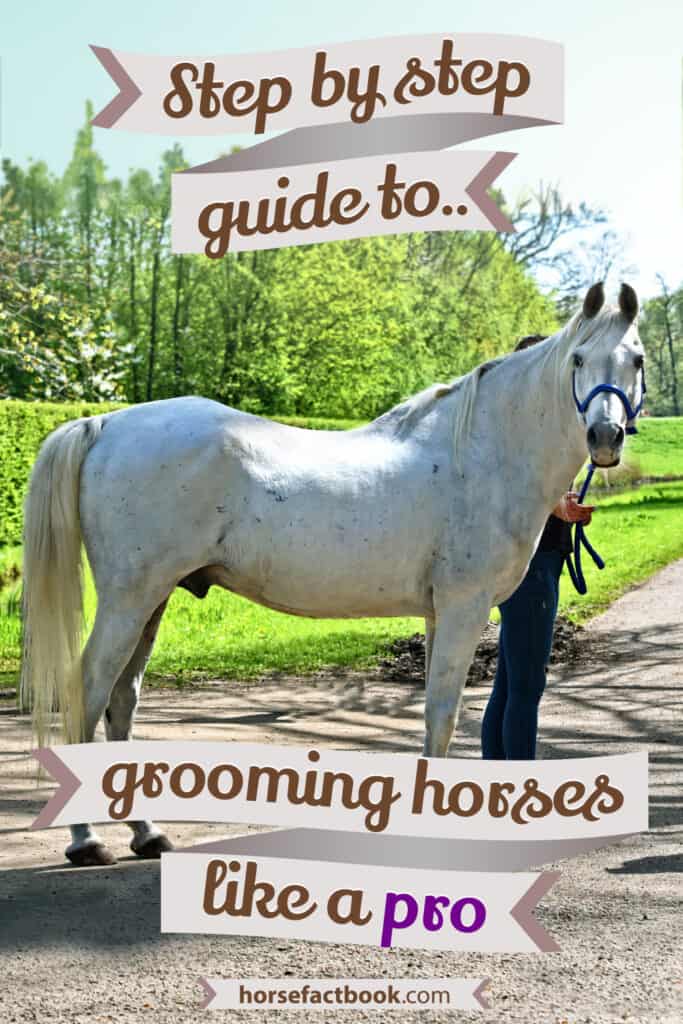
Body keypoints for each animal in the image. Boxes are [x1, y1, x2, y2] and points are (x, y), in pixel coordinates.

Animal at [21, 281, 645, 866]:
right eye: (578, 359)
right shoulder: (464, 609)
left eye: (635, 359)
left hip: (152, 600)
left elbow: (433, 715)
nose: (604, 438)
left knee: (121, 702)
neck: (481, 453)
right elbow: (443, 714)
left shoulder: (441, 612)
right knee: (89, 692)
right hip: (129, 599)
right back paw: (85, 840)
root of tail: (104, 423)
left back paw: (147, 834)